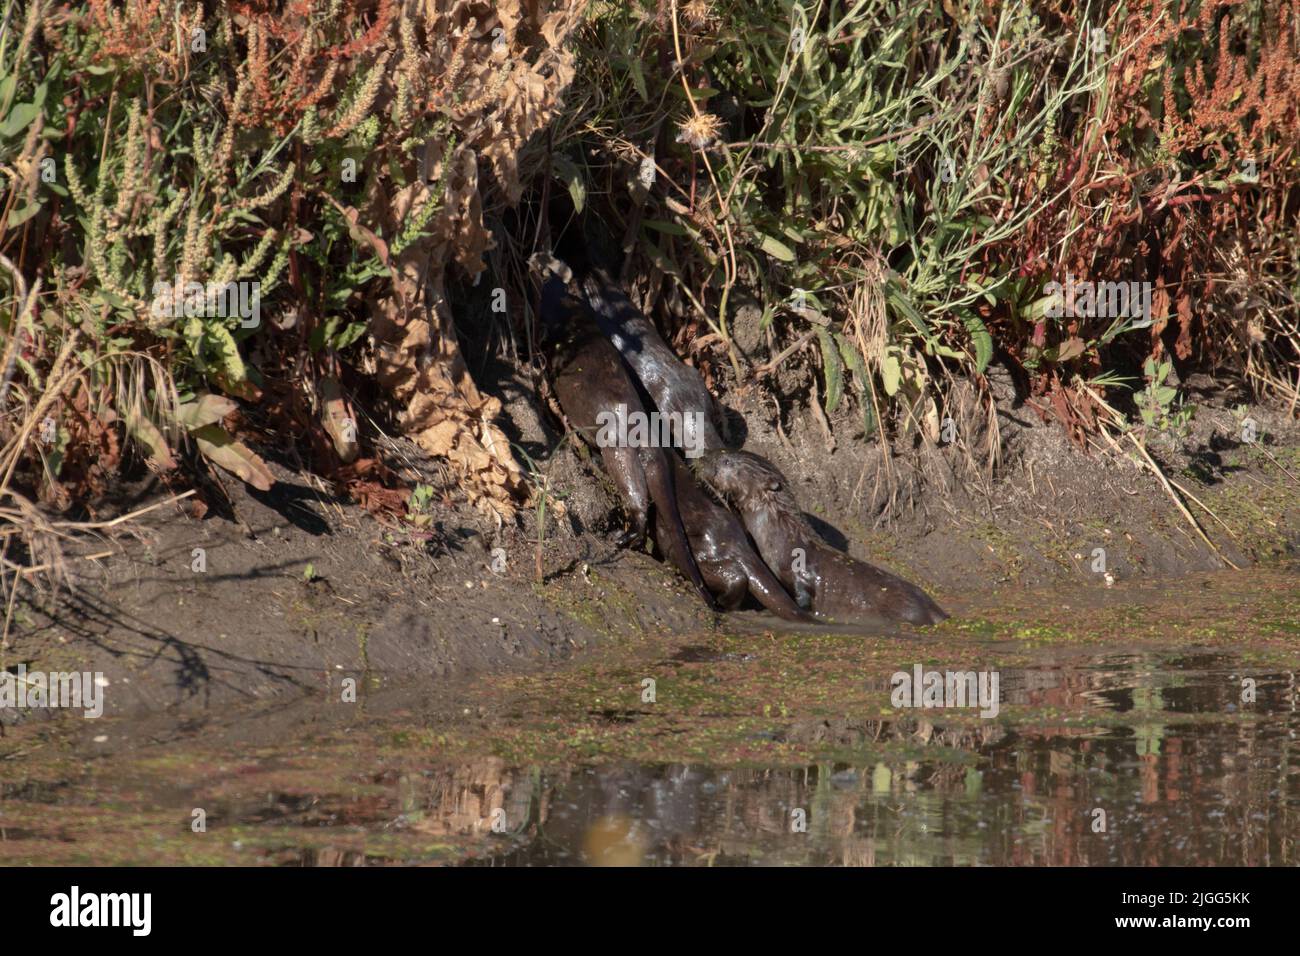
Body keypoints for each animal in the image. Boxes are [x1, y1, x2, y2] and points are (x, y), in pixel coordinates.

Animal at [540, 271, 717, 610]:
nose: (546, 277)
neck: (576, 327)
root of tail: (651, 443)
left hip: (619, 451)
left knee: (636, 496)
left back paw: (623, 536)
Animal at [706, 450, 949, 626]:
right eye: (724, 454)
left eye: (728, 462)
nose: (709, 458)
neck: (785, 539)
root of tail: (937, 610)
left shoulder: (801, 577)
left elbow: (801, 601)